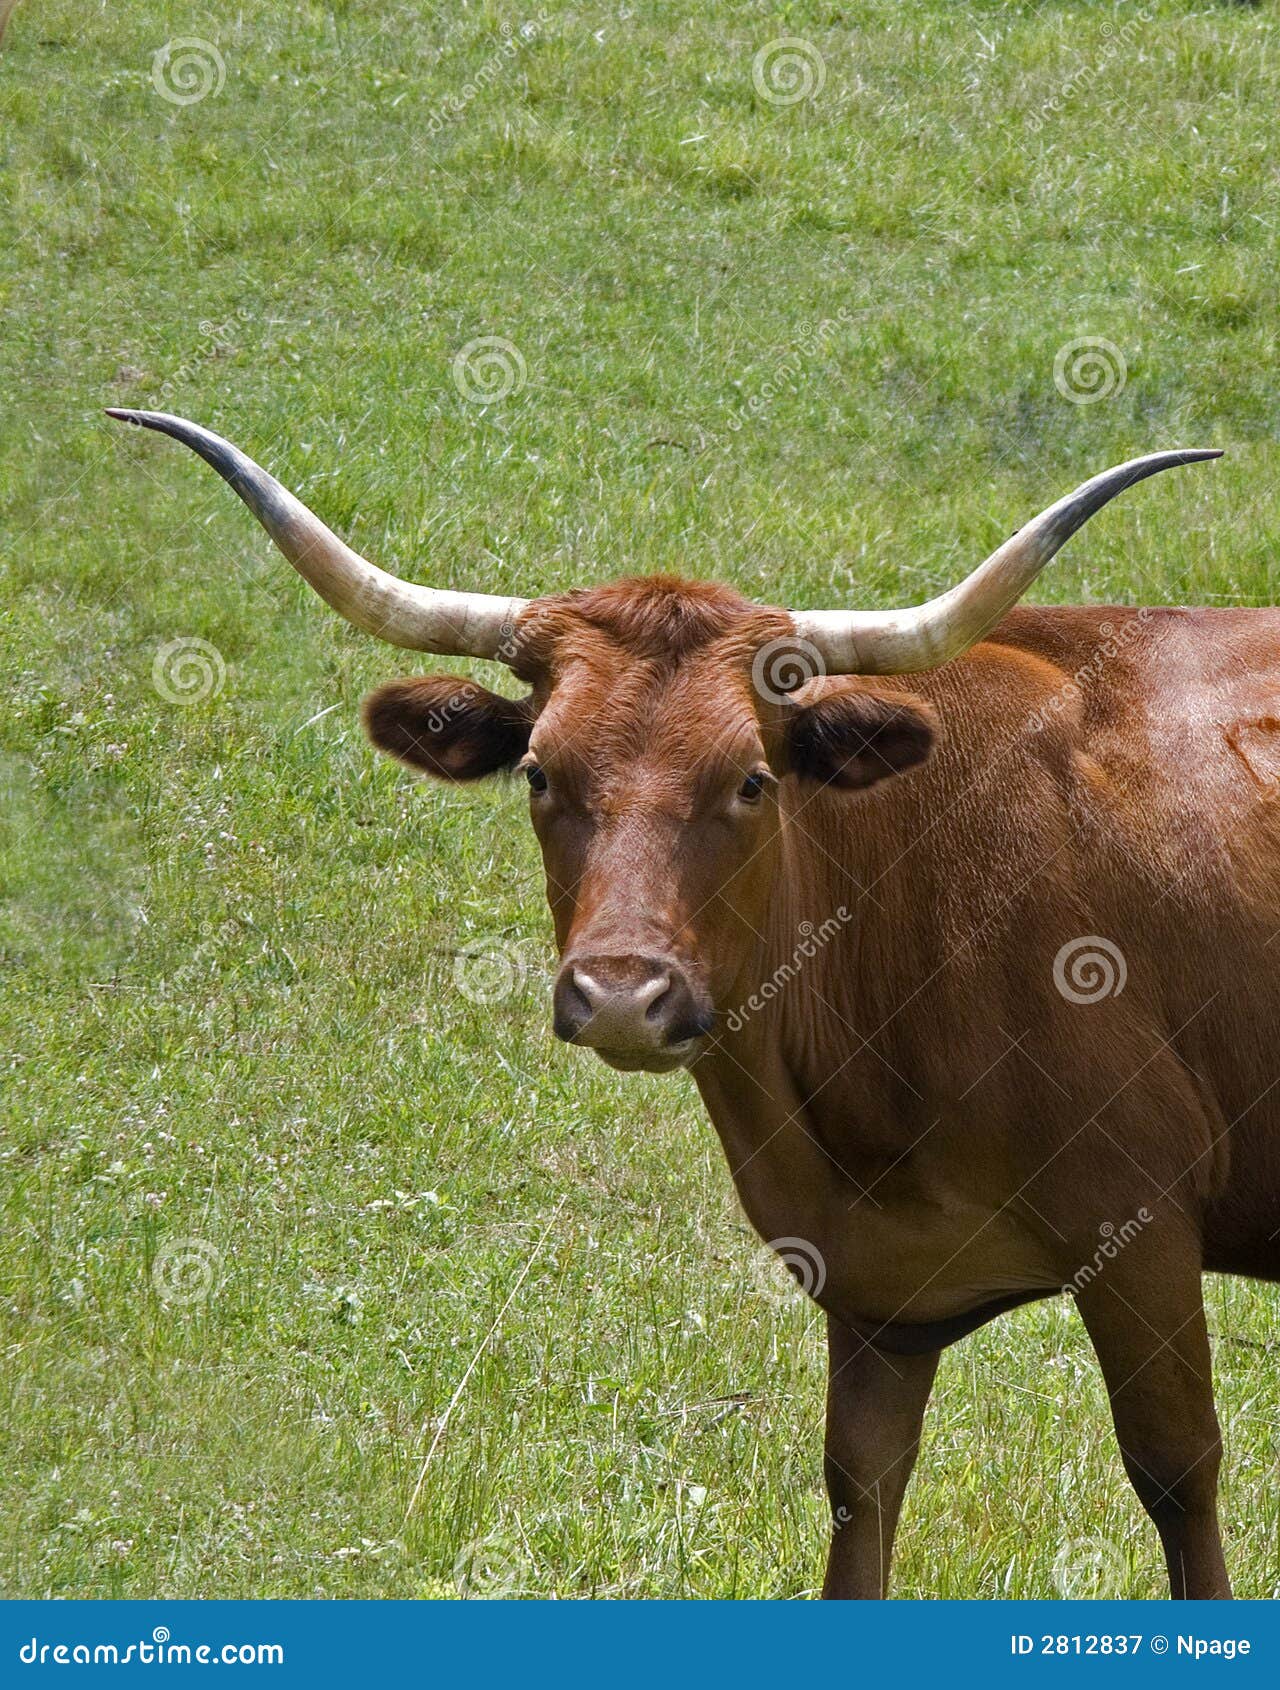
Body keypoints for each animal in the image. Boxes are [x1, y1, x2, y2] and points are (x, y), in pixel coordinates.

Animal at [109, 407, 1278, 1601]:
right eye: (538, 771)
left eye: (752, 779)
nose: (622, 996)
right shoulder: (877, 1300)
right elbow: (860, 1496)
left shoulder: (1140, 1229)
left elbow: (1177, 1471)